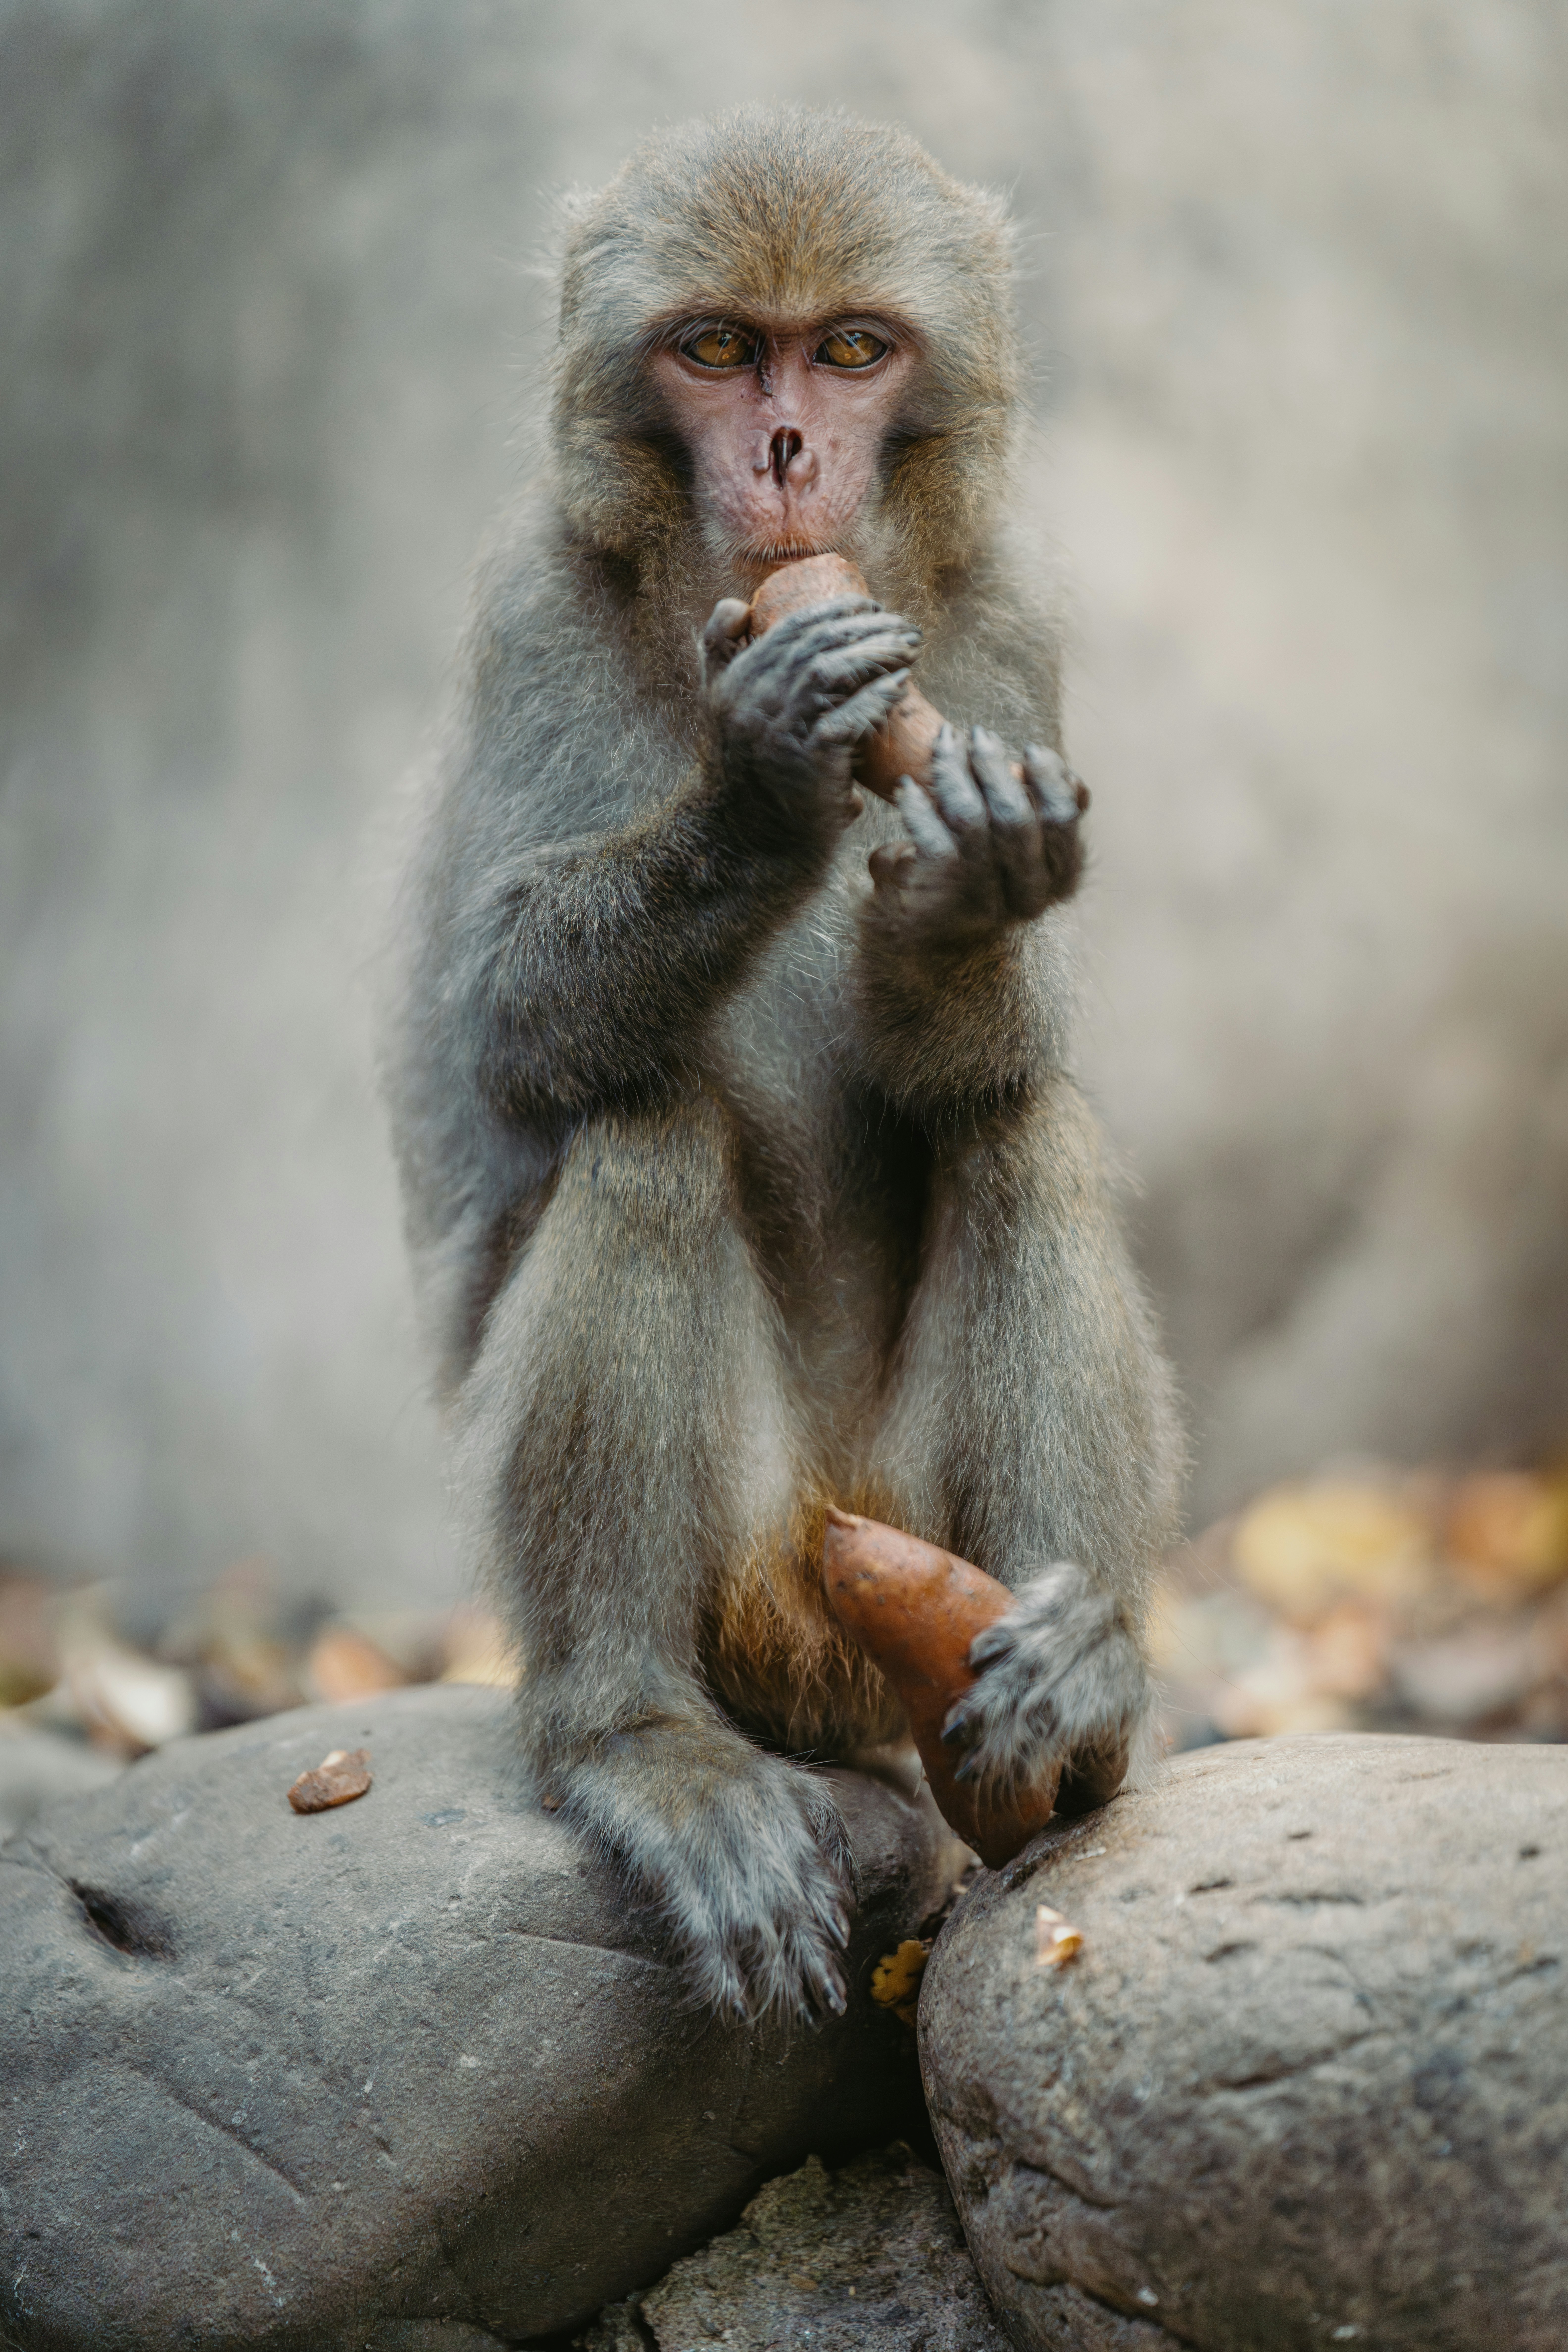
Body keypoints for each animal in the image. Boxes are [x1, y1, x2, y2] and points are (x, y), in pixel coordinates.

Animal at [386, 105, 1182, 2022]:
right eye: (715, 350)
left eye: (850, 350)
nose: (787, 448)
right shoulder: (529, 609)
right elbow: (509, 1024)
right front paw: (758, 789)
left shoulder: (1007, 616)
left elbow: (991, 1055)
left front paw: (963, 884)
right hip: (748, 1572)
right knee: (642, 1127)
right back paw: (634, 1737)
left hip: (913, 1545)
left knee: (1020, 1127)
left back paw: (1076, 1705)